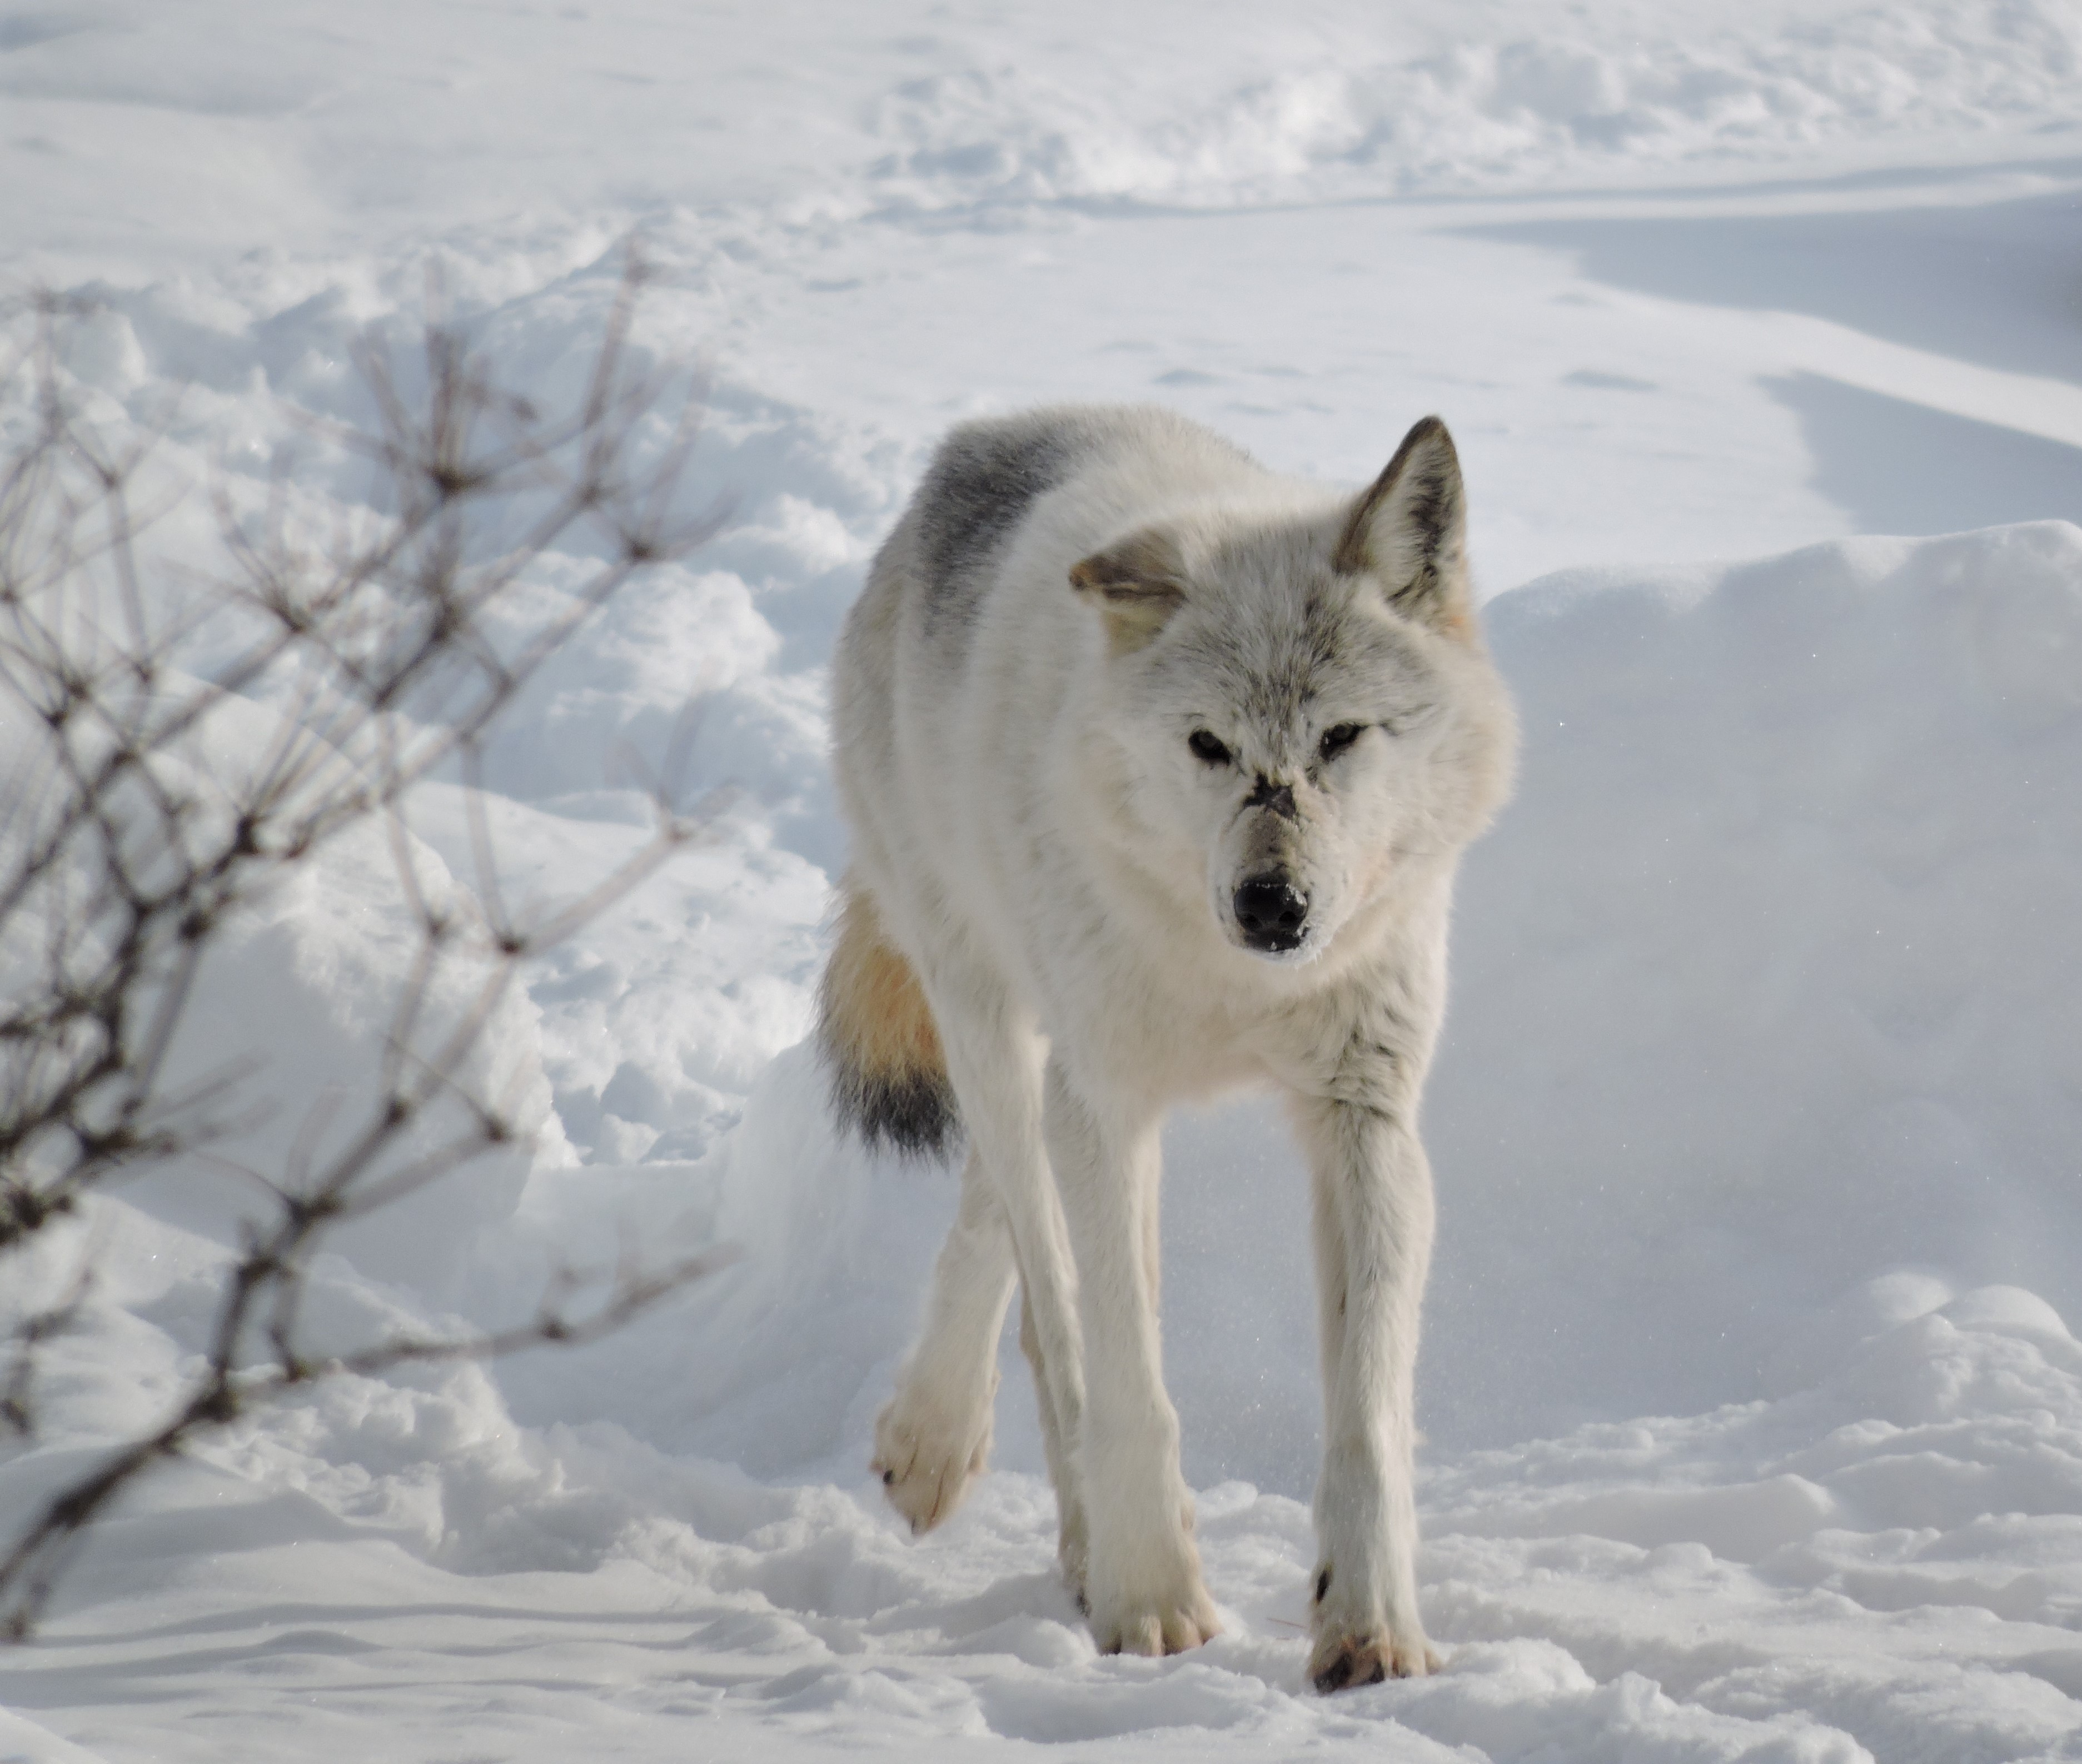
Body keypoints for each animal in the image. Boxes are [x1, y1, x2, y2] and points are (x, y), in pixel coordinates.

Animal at [820, 404, 1516, 1689]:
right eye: (1209, 746)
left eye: (1341, 737)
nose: (1273, 906)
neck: (1230, 982)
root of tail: (981, 440)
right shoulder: (1108, 1107)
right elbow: (1123, 1375)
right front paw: (1149, 1597)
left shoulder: (1365, 1117)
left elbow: (1368, 1410)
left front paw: (1372, 1625)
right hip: (990, 1018)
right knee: (1051, 1310)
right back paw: (1026, 1501)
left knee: (996, 1214)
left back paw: (933, 1443)